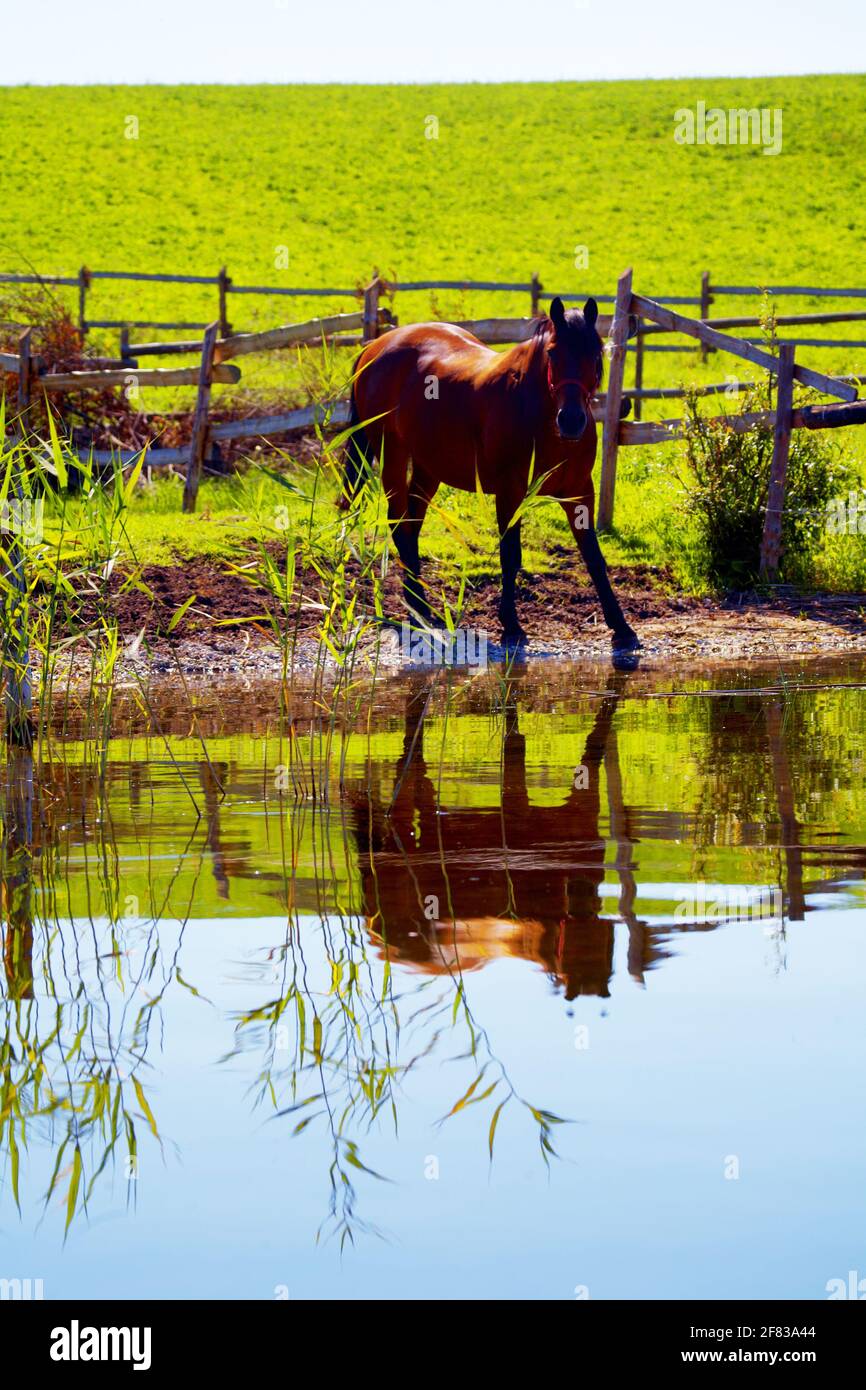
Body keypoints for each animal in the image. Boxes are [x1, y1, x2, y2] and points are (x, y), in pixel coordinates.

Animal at [340, 296, 640, 653]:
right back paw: (419, 610)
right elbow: (510, 555)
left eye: (595, 354)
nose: (571, 420)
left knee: (412, 527)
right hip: (393, 458)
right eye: (553, 353)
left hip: (429, 467)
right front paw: (511, 626)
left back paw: (420, 607)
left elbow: (594, 557)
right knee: (400, 526)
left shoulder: (580, 493)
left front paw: (622, 627)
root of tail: (375, 346)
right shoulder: (510, 493)